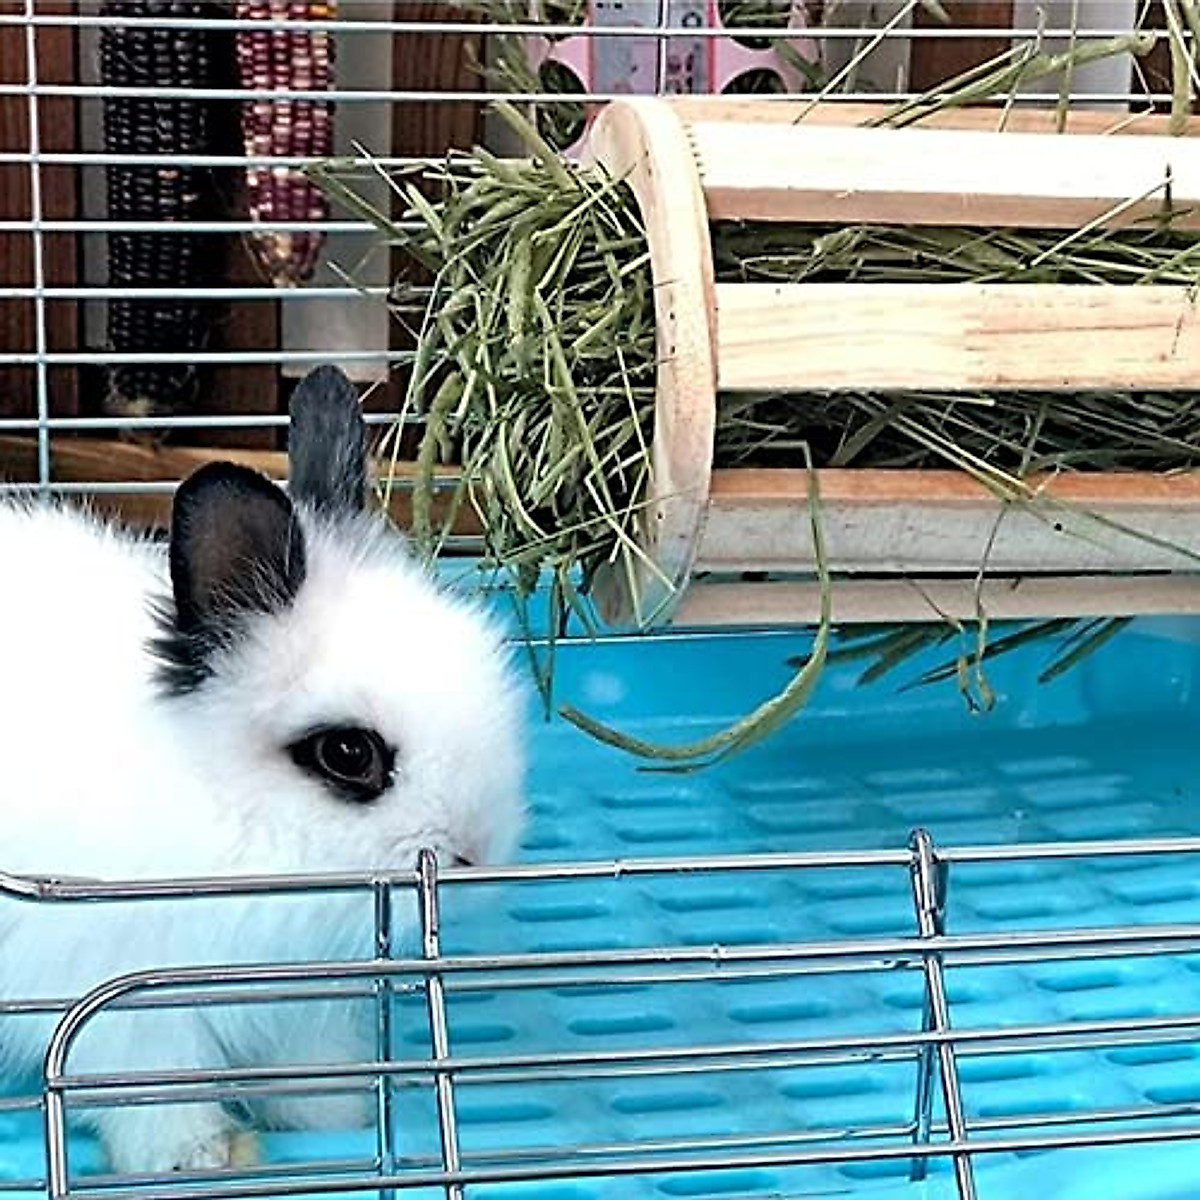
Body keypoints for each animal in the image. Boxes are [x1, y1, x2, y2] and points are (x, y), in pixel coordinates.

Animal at [0, 365, 526, 1177]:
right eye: (349, 754)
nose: (477, 854)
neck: (224, 812)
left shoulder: (297, 1008)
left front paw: (344, 1108)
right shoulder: (128, 1014)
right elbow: (151, 1097)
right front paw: (205, 1157)